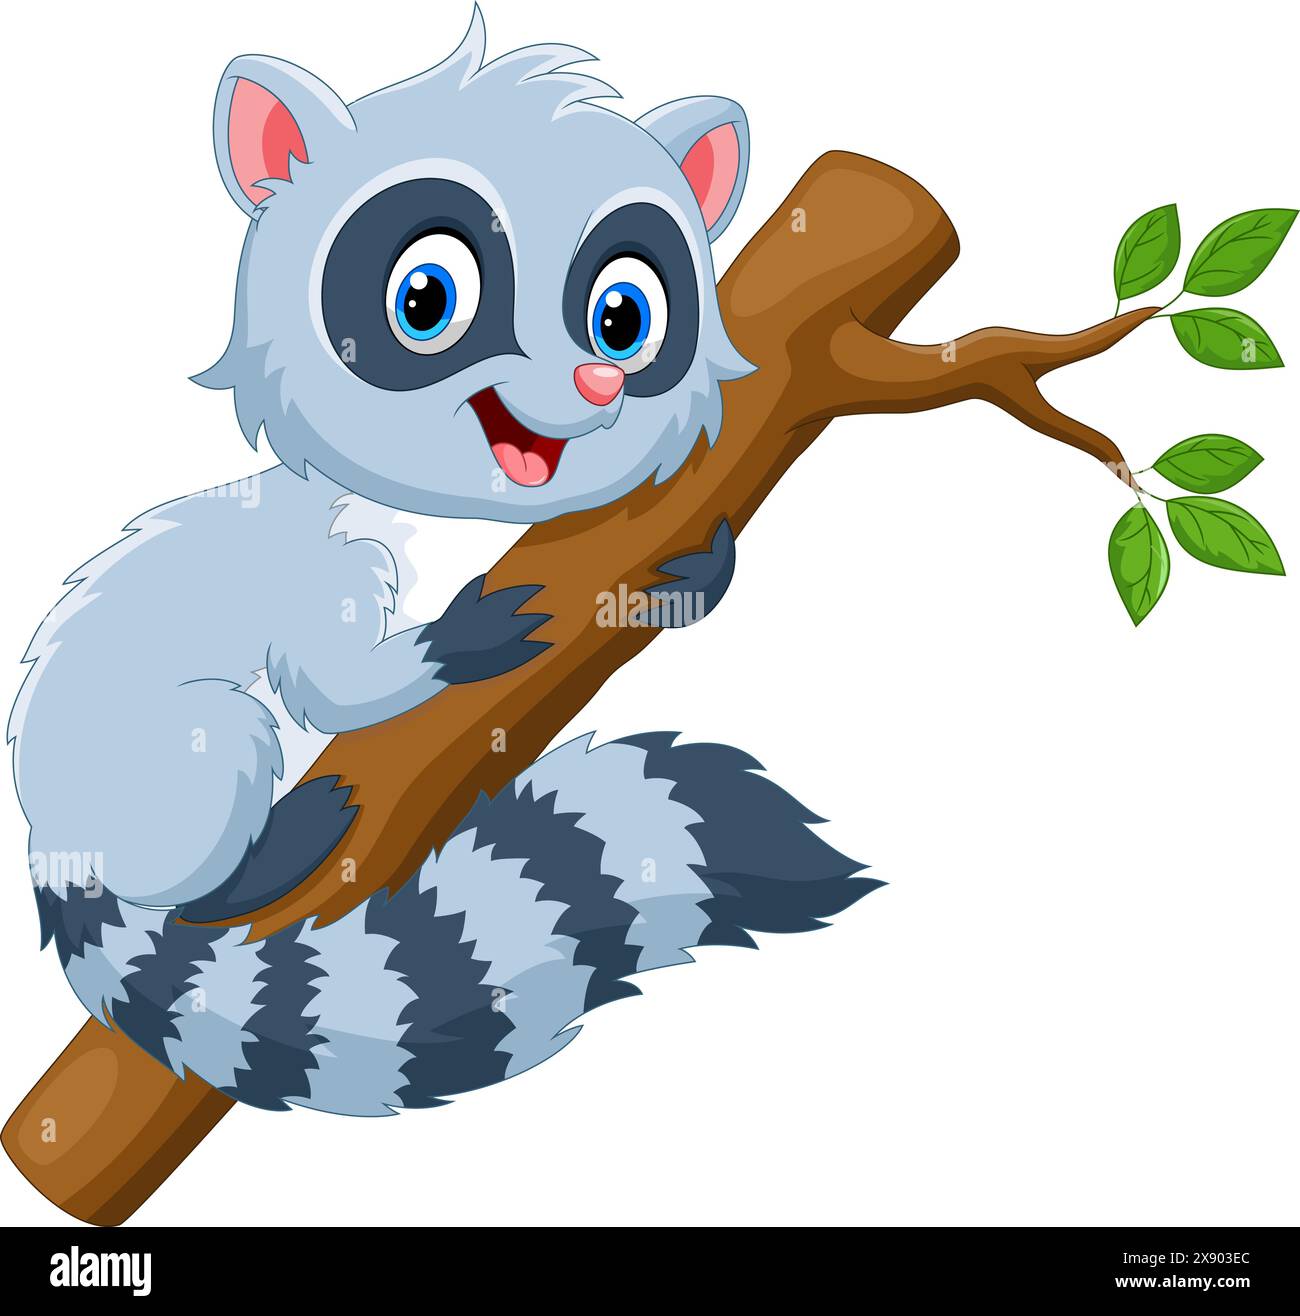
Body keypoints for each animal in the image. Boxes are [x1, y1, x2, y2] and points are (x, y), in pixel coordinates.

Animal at [9, 8, 876, 1114]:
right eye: (426, 298)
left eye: (624, 315)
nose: (598, 381)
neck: (454, 509)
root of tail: (53, 837)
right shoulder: (332, 558)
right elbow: (334, 686)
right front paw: (457, 643)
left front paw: (691, 584)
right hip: (148, 764)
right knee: (217, 736)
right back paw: (249, 865)